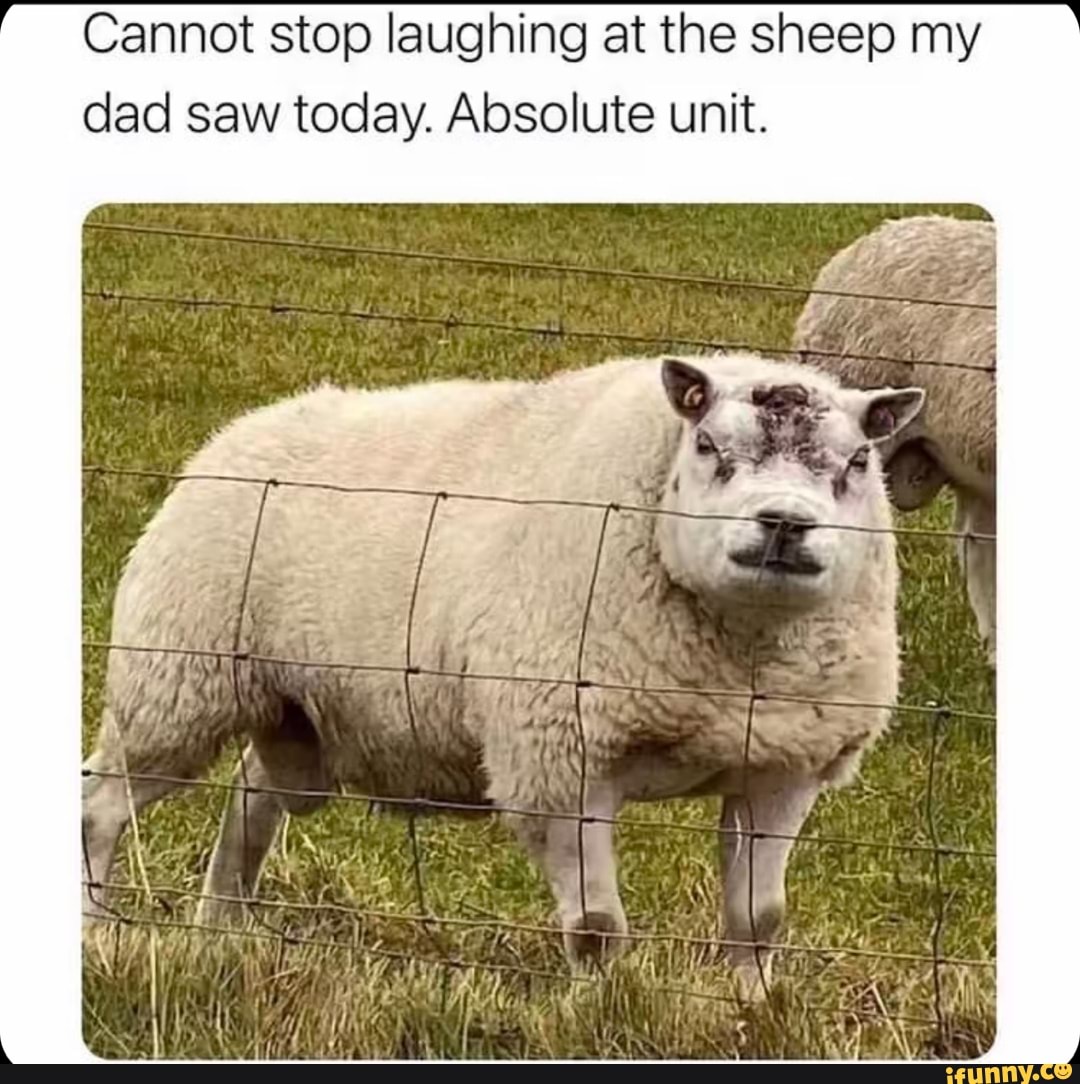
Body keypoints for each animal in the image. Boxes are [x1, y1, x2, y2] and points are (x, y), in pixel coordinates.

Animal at [82, 352, 925, 1001]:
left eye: (858, 463)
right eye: (711, 447)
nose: (784, 524)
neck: (739, 658)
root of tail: (246, 429)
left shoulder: (785, 768)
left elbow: (760, 920)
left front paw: (754, 1009)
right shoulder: (559, 761)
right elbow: (596, 929)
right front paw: (598, 1011)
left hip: (294, 710)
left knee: (251, 799)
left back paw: (220, 929)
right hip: (174, 682)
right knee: (102, 804)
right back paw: (96, 929)